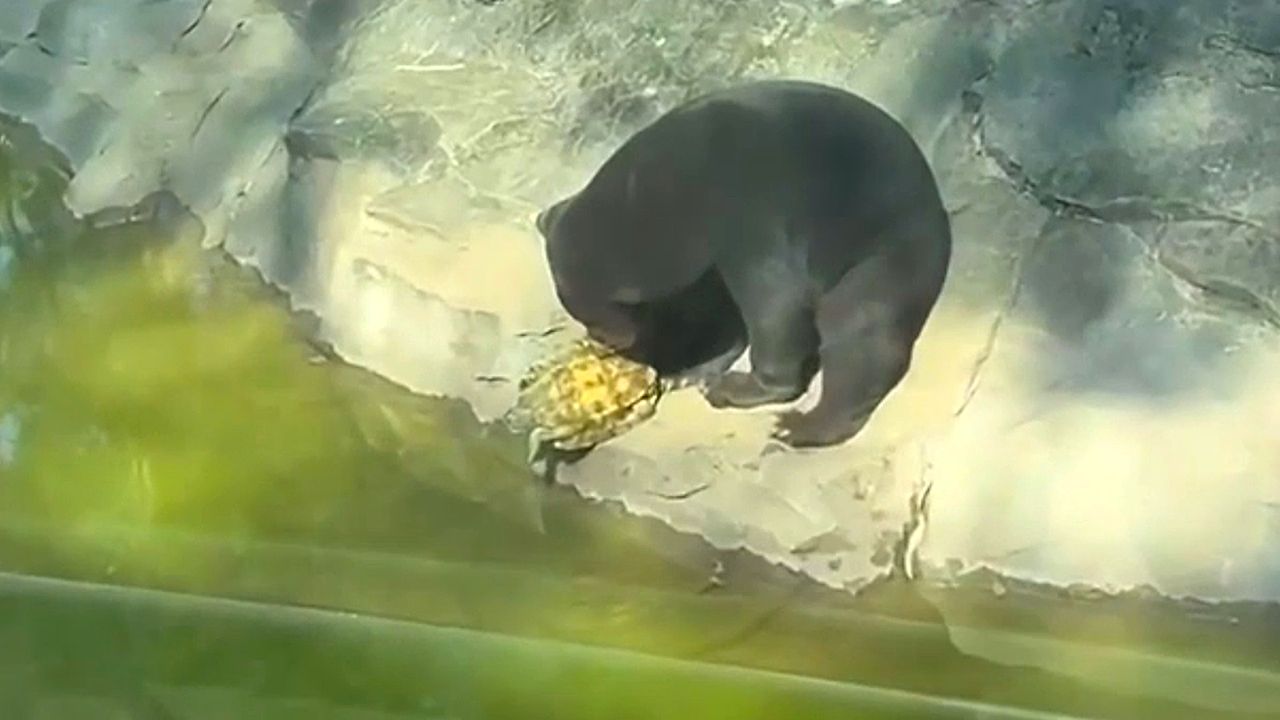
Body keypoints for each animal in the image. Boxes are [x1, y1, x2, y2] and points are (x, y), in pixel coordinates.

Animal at [535, 79, 952, 449]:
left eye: (598, 327)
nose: (603, 342)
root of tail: (937, 207)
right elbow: (724, 310)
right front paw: (694, 370)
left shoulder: (751, 211)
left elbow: (776, 303)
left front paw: (732, 386)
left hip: (885, 251)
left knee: (858, 331)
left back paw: (801, 425)